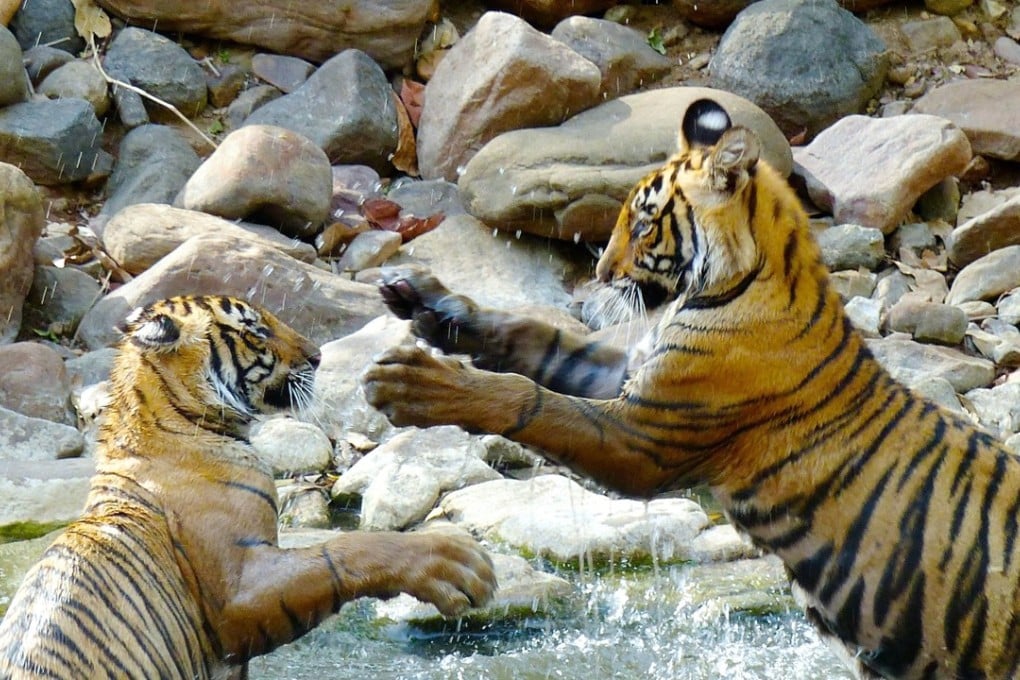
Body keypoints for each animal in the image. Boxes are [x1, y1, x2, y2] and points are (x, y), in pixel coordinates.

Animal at [362, 98, 1020, 679]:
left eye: (644, 222)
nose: (599, 273)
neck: (739, 283)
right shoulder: (631, 374)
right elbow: (535, 338)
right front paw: (429, 303)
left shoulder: (645, 437)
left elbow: (531, 398)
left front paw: (417, 384)